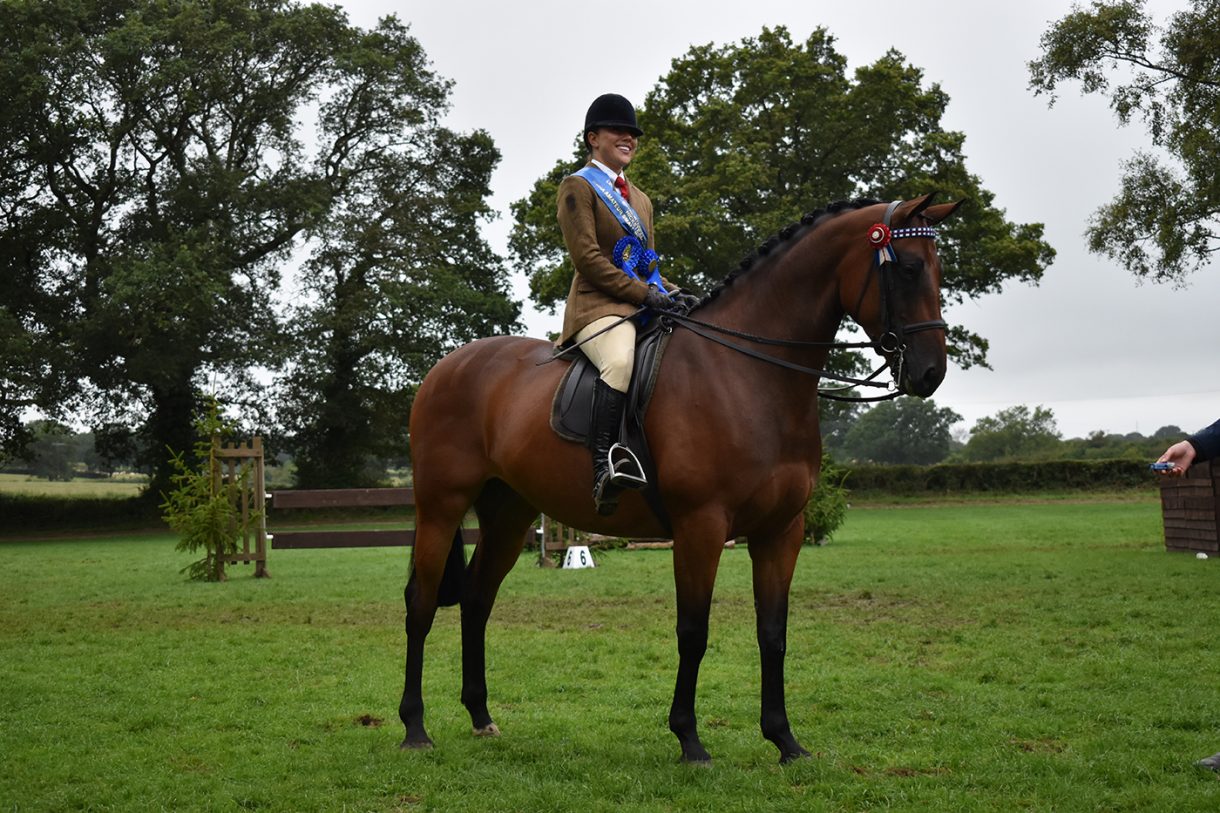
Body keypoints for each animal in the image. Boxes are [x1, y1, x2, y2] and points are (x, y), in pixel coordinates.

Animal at [399, 194, 963, 764]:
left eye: (938, 269)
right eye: (908, 269)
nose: (931, 372)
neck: (748, 374)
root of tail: (446, 366)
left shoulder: (782, 531)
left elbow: (773, 632)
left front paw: (784, 740)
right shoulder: (701, 527)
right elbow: (693, 631)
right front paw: (690, 739)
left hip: (509, 514)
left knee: (477, 598)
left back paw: (480, 716)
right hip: (442, 505)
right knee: (421, 602)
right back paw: (415, 728)